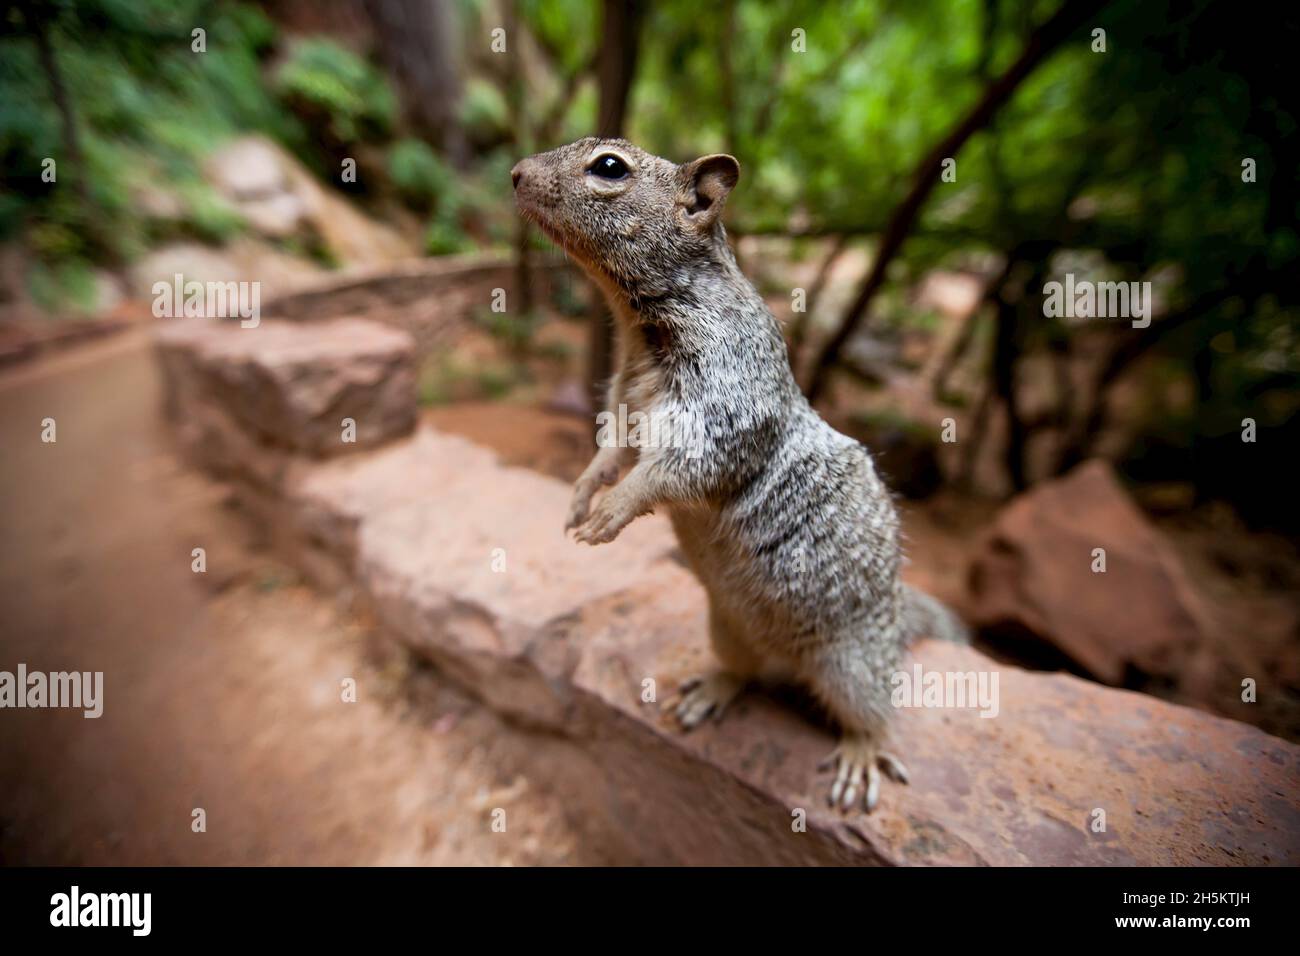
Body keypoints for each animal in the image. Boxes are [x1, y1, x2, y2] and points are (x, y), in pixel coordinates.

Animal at [512, 137, 968, 813]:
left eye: (610, 167)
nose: (516, 173)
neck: (635, 326)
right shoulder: (625, 401)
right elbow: (611, 453)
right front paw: (582, 494)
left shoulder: (726, 400)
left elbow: (675, 469)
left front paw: (613, 510)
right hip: (726, 627)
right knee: (744, 671)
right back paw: (713, 689)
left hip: (853, 665)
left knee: (875, 715)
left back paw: (861, 755)